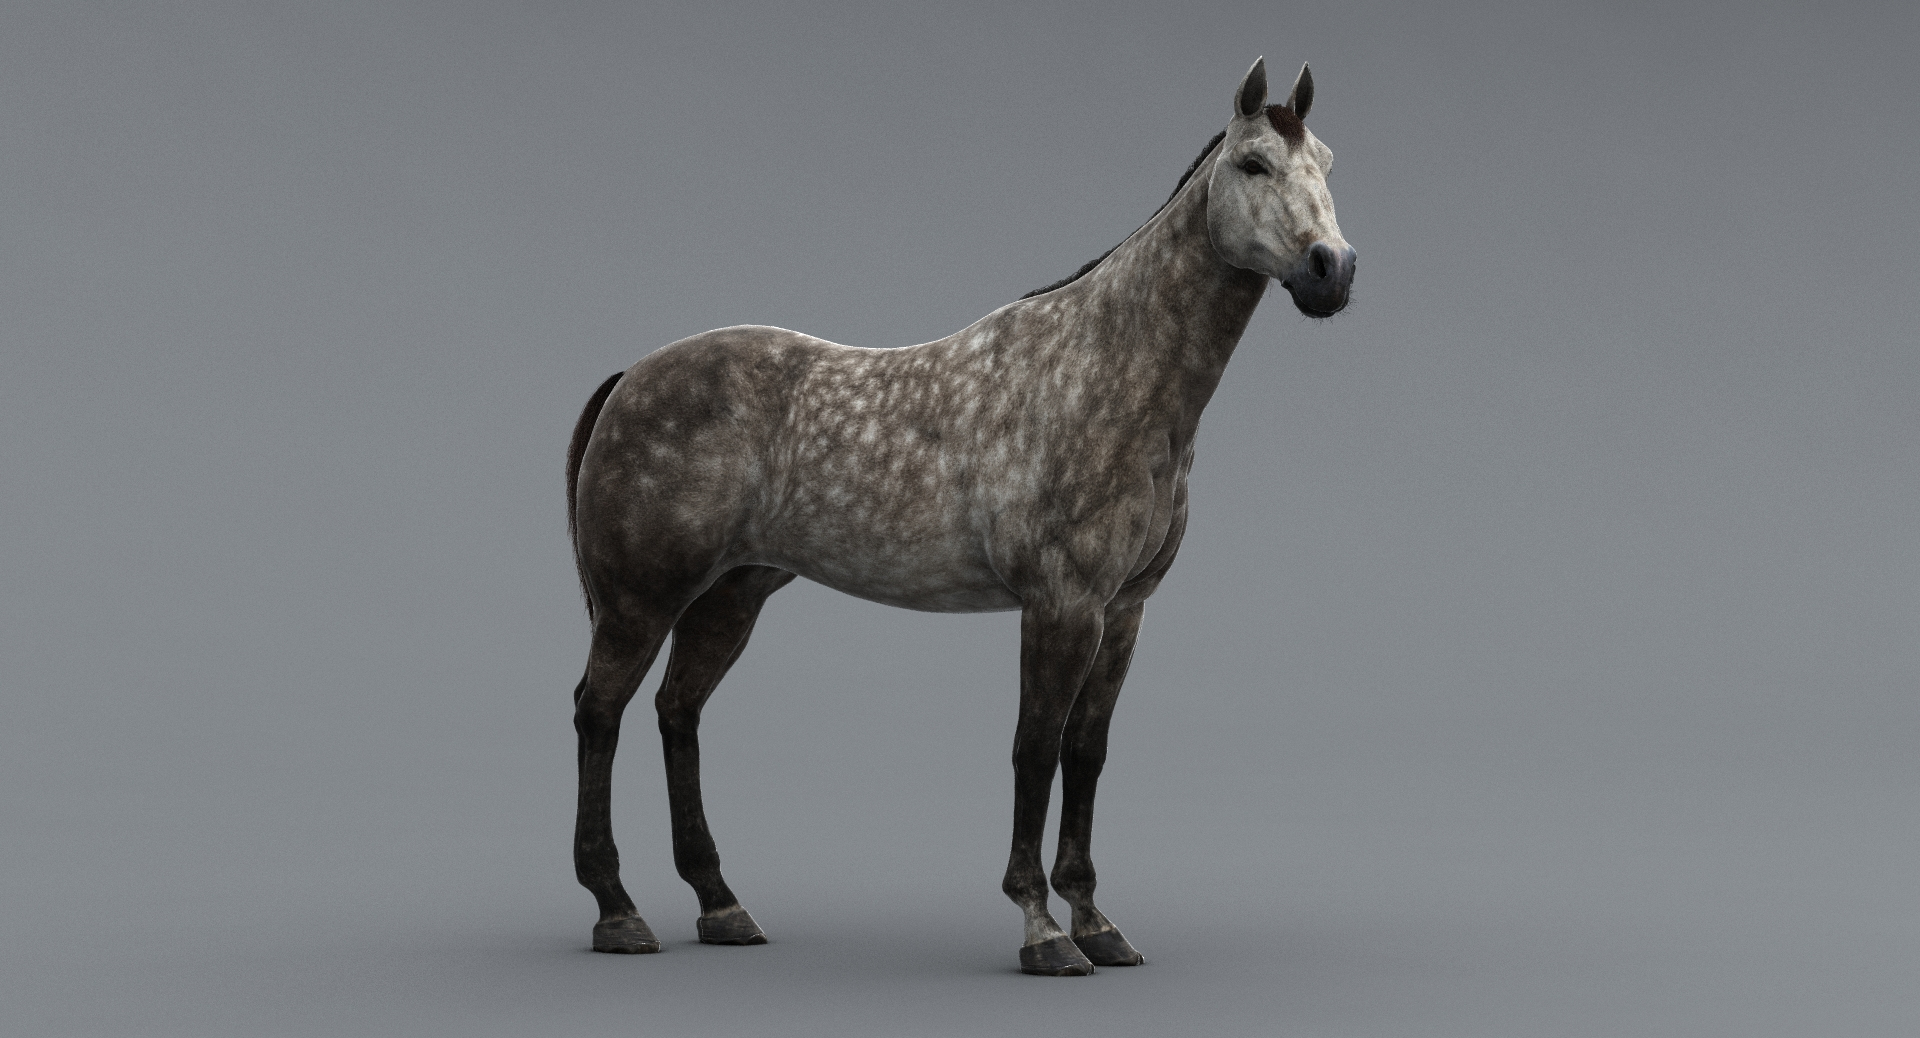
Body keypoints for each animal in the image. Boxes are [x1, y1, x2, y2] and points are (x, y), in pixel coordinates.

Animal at [564, 57, 1355, 976]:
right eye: (1253, 164)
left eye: (1325, 163)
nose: (1332, 269)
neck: (1105, 374)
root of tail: (630, 377)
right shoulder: (1060, 605)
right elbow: (1034, 751)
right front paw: (1043, 929)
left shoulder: (1124, 611)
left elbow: (1085, 754)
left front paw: (1097, 922)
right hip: (640, 602)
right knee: (599, 713)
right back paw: (617, 911)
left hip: (731, 597)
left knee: (676, 713)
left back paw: (720, 904)